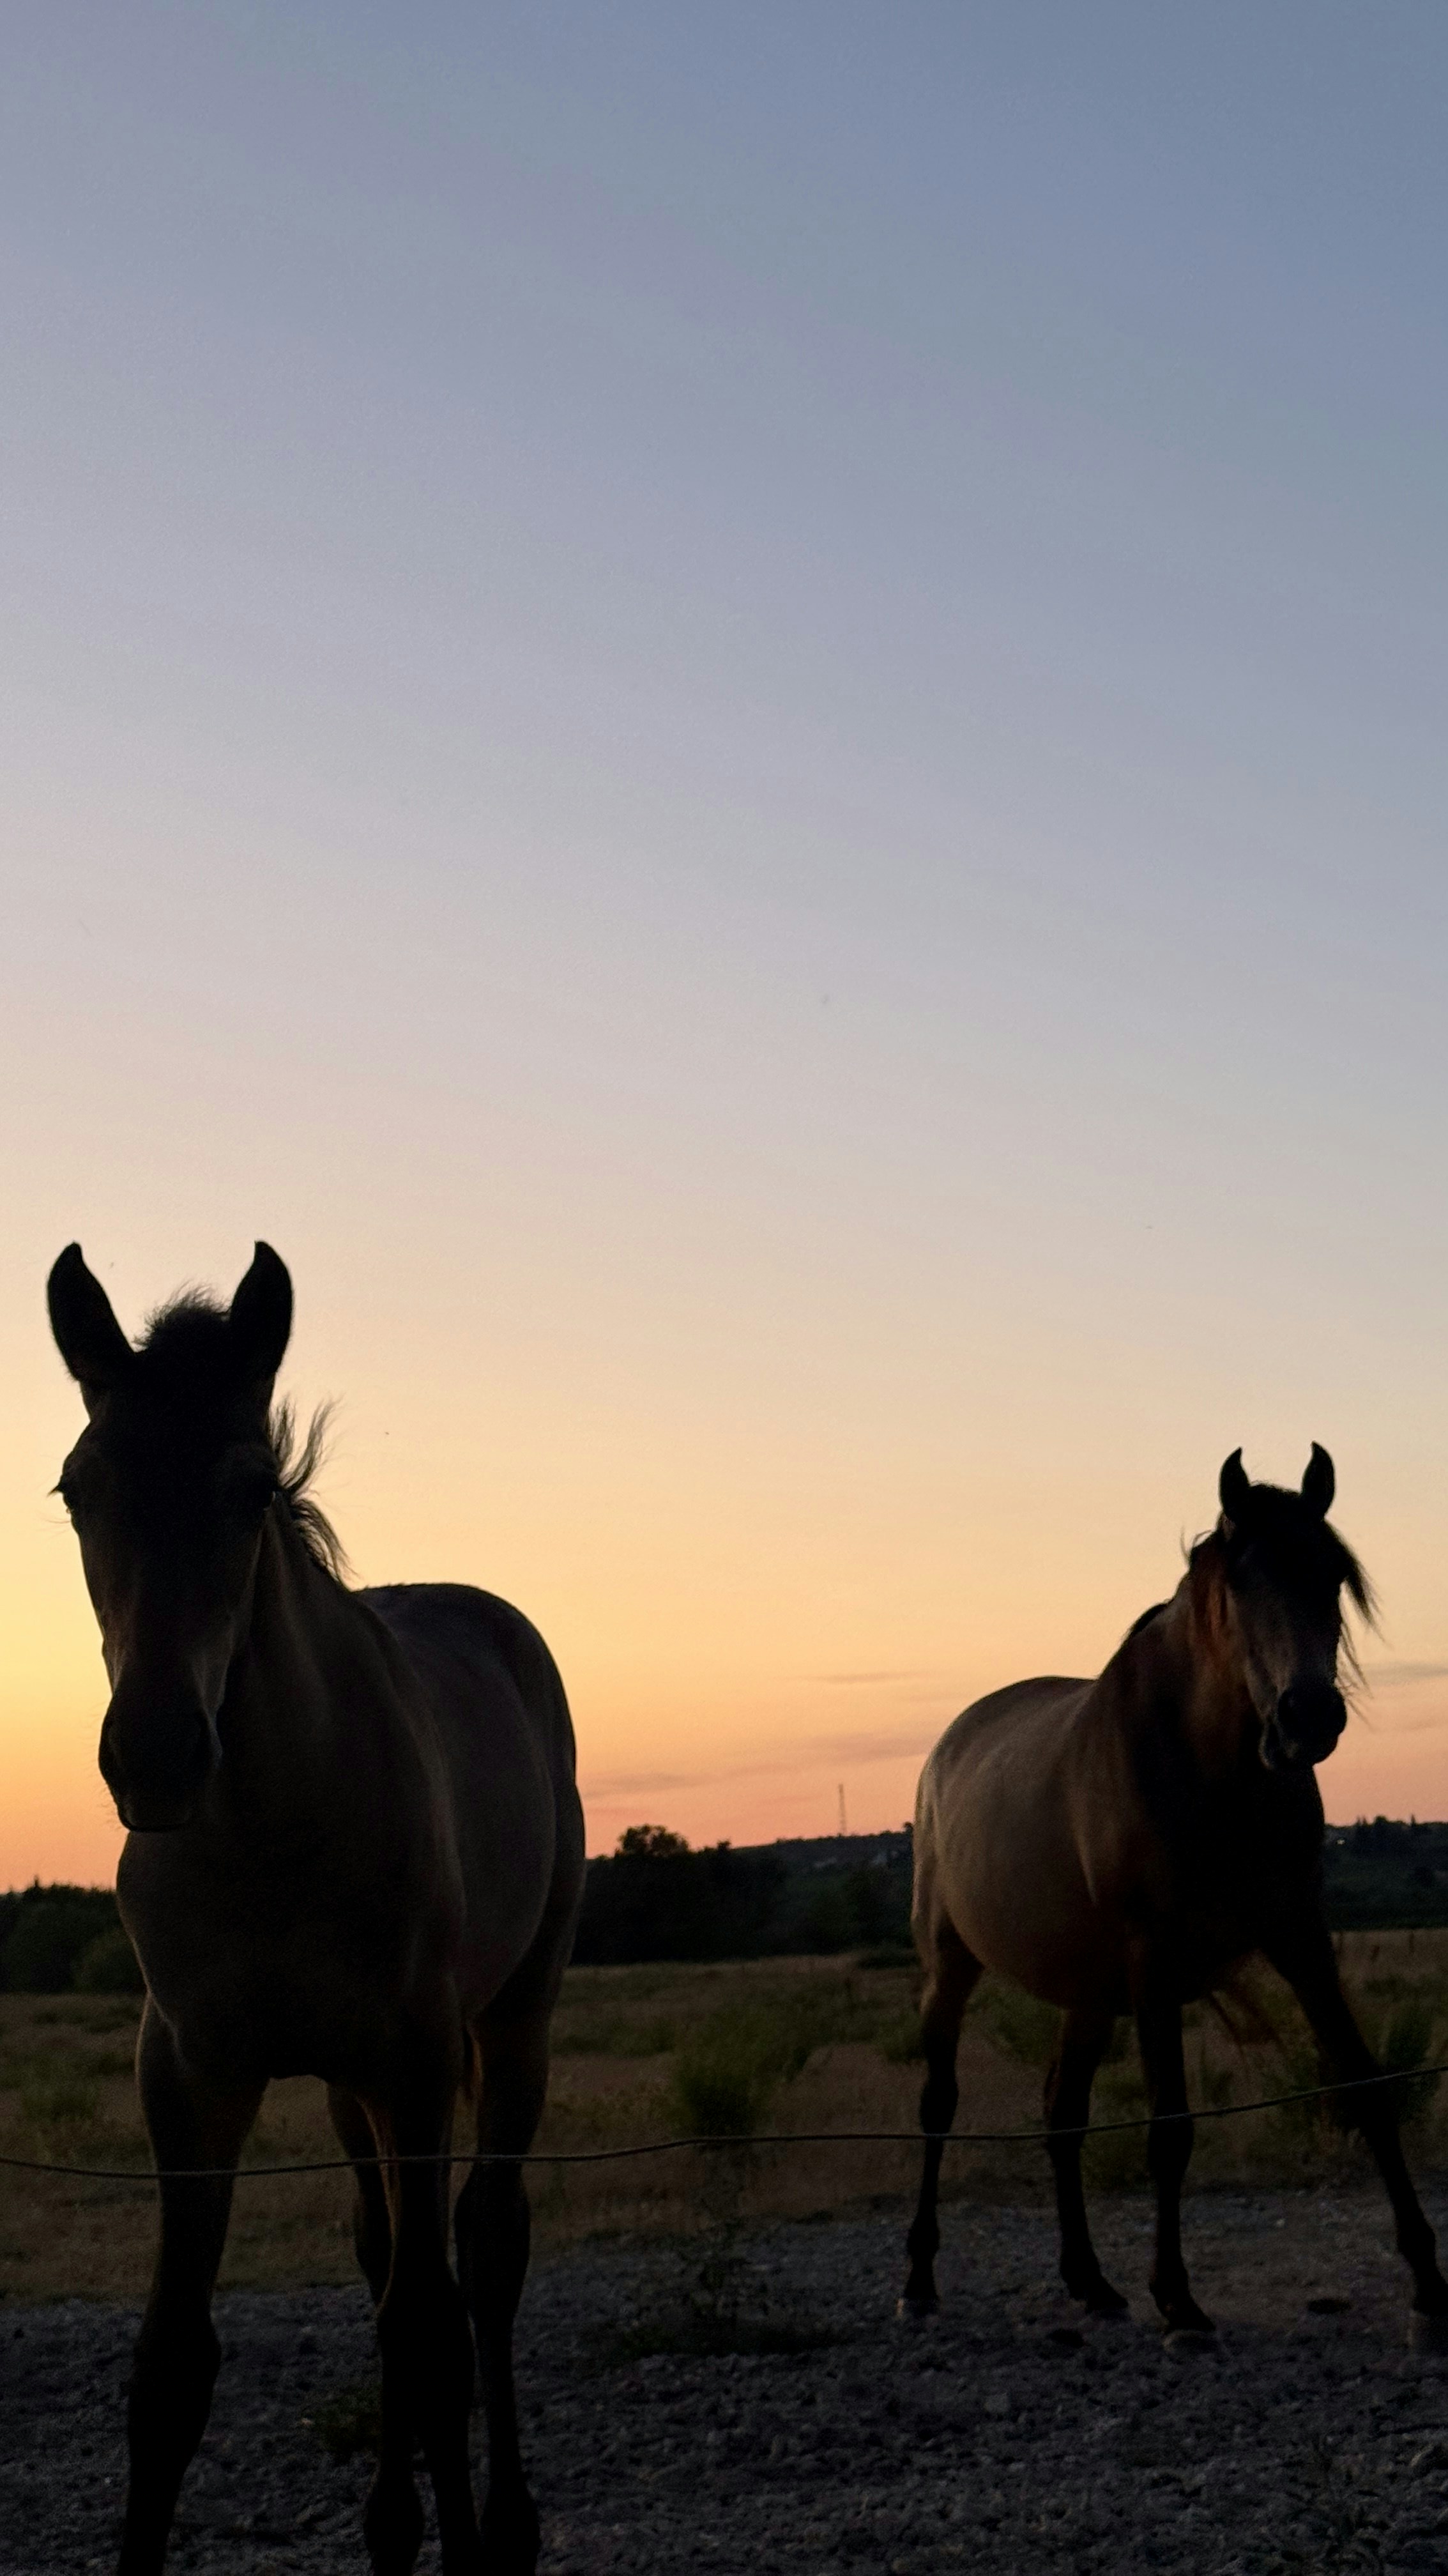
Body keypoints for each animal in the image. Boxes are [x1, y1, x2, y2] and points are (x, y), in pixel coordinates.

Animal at [46, 1242, 585, 2576]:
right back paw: (393, 2527)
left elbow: (430, 2330)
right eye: (79, 1489)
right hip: (348, 2086)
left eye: (250, 1491)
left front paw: (465, 2540)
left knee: (483, 2251)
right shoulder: (191, 2074)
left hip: (508, 2027)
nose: (156, 1756)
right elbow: (172, 2369)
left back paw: (501, 2524)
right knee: (385, 2246)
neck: (269, 1832)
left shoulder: (415, 2059)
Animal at [902, 1446, 1448, 2342]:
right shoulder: (1152, 1956)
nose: (1307, 1717)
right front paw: (1176, 2297)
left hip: (1087, 1993)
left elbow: (1366, 2090)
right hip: (950, 1967)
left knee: (1061, 2114)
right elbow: (1167, 2127)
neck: (1207, 1770)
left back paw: (1090, 2282)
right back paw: (918, 2279)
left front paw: (1428, 2283)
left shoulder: (1300, 1936)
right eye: (1241, 1580)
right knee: (937, 2107)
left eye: (1331, 1575)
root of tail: (948, 1748)